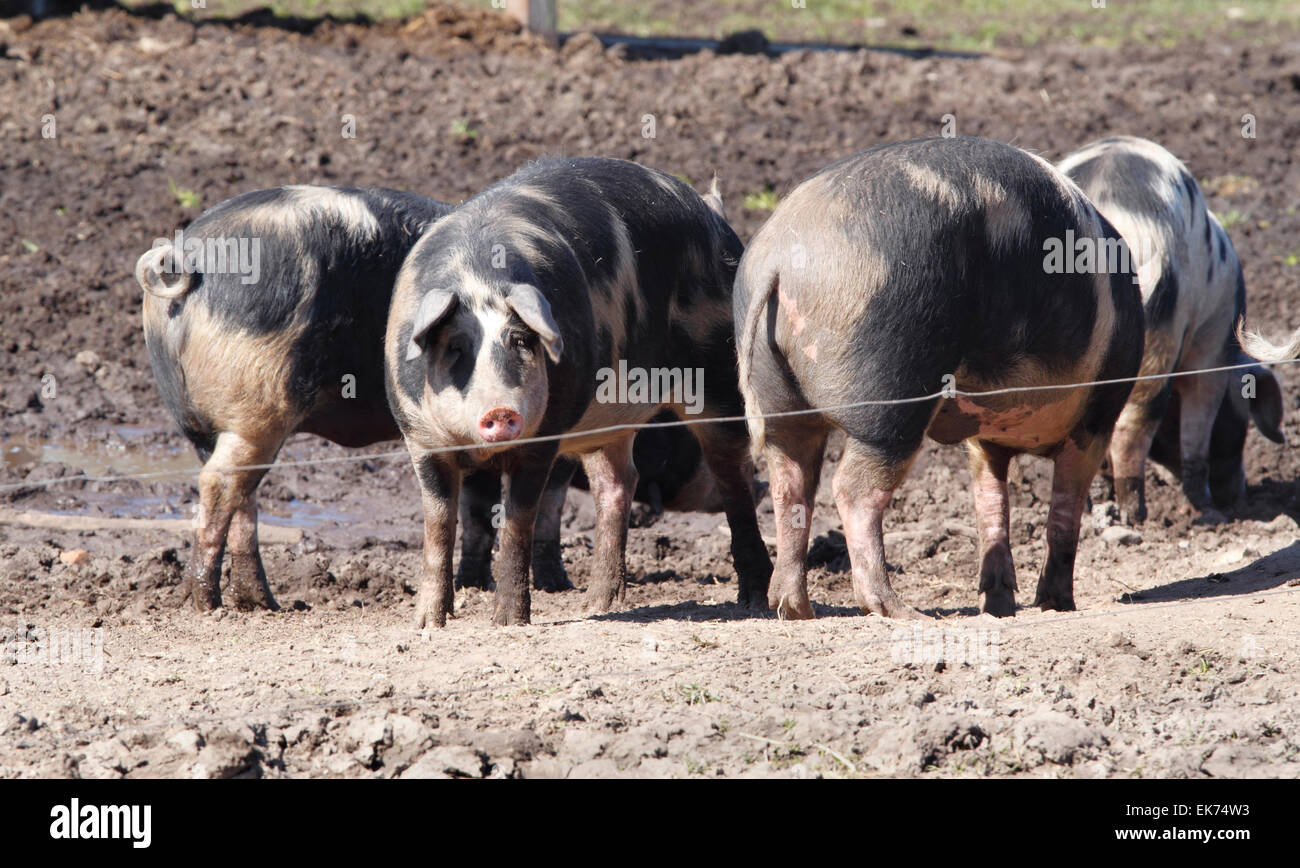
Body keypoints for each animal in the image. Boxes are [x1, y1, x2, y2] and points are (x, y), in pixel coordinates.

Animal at [137, 185, 451, 611]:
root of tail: (188, 259)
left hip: (195, 418)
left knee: (240, 498)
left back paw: (257, 604)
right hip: (256, 407)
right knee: (220, 485)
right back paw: (209, 605)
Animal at [385, 157, 773, 628]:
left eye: (521, 341)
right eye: (455, 347)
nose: (500, 411)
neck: (477, 275)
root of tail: (714, 214)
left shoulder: (542, 439)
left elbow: (518, 520)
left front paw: (508, 622)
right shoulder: (420, 440)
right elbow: (438, 524)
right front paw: (427, 623)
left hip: (718, 373)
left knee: (733, 475)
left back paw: (753, 601)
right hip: (607, 418)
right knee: (619, 483)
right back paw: (597, 604)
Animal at [735, 136, 1144, 619]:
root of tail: (780, 257)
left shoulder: (983, 434)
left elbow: (991, 504)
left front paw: (999, 606)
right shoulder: (1098, 417)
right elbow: (1063, 511)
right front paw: (1056, 605)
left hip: (781, 401)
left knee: (790, 483)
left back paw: (793, 608)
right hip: (893, 388)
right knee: (853, 490)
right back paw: (899, 611)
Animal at [1057, 136, 1285, 523]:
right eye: (1244, 412)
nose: (1236, 492)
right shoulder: (1211, 348)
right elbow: (1198, 426)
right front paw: (1204, 505)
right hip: (1159, 328)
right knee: (1135, 421)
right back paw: (1135, 513)